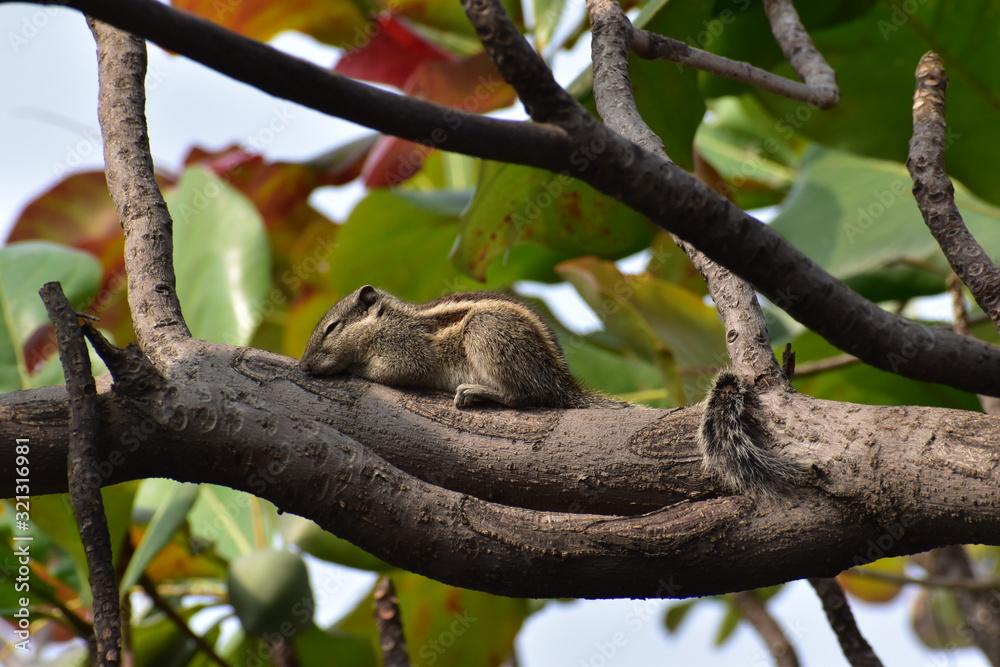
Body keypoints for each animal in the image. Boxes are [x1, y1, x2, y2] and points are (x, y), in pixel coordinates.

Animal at [300, 285, 617, 409]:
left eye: (332, 328)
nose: (302, 365)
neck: (384, 322)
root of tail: (560, 382)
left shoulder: (405, 348)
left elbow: (402, 369)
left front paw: (354, 369)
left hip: (485, 328)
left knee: (527, 395)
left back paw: (475, 392)